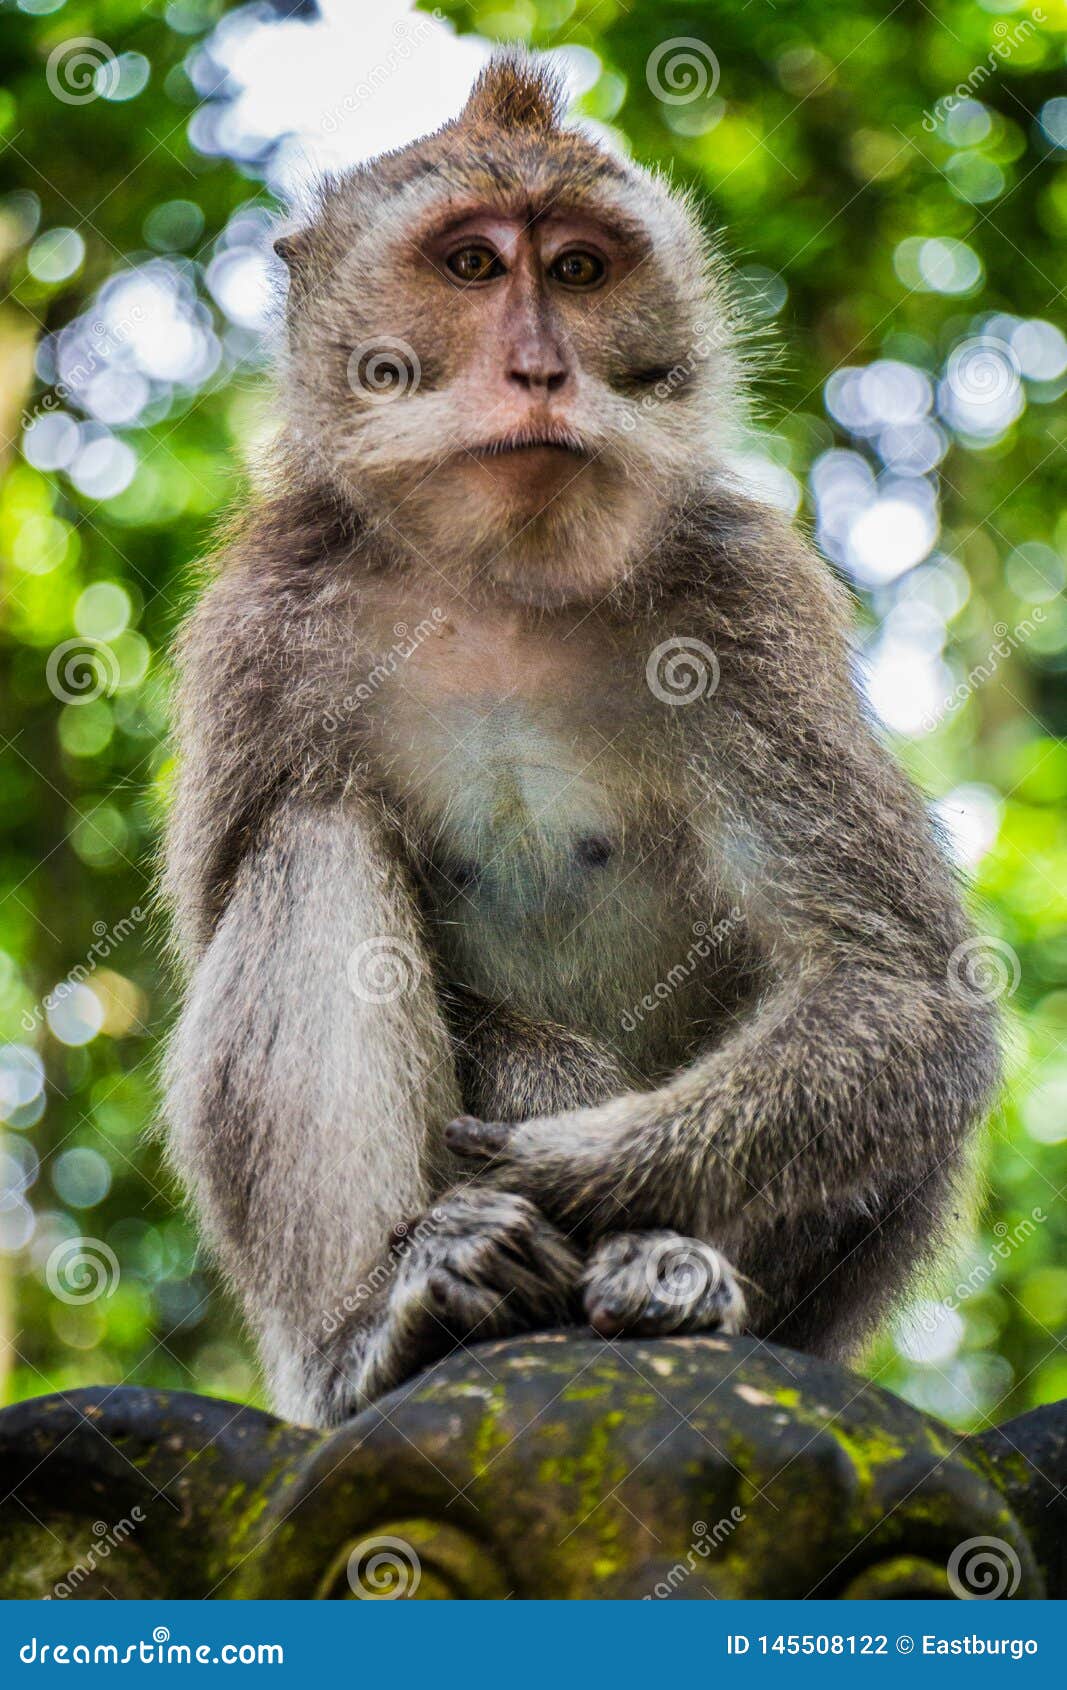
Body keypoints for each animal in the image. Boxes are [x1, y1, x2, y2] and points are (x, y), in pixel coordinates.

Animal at [162, 53, 1000, 1428]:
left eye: (576, 270)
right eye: (469, 265)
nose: (540, 369)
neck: (505, 577)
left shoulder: (744, 597)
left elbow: (900, 982)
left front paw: (582, 1165)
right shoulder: (261, 632)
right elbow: (235, 909)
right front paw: (545, 1100)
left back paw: (671, 1270)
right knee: (311, 840)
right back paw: (382, 1327)